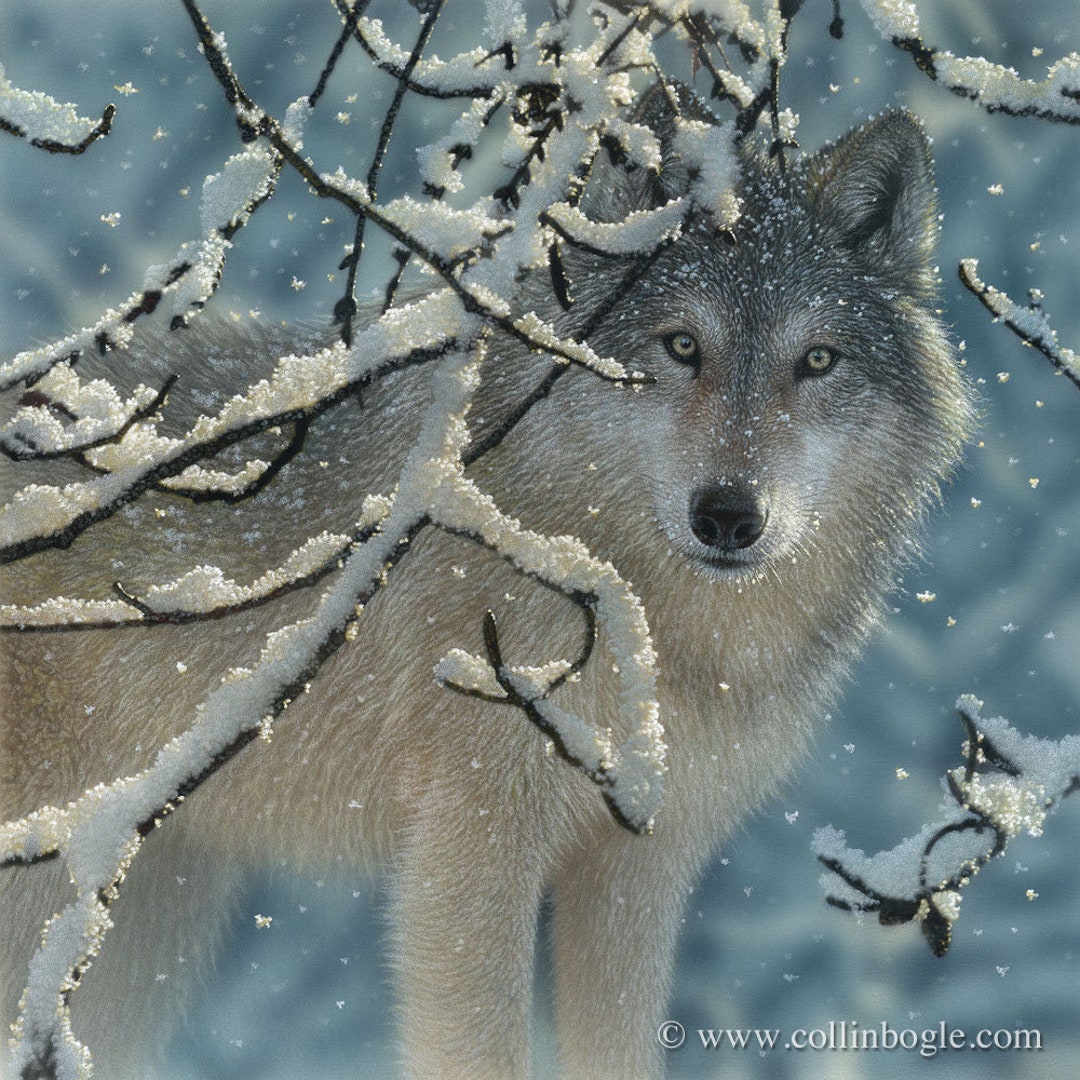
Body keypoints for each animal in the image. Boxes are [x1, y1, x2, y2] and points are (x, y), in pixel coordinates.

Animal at [1, 83, 973, 1079]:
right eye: (680, 346)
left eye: (817, 361)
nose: (730, 516)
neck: (649, 623)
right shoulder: (471, 848)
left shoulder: (639, 868)